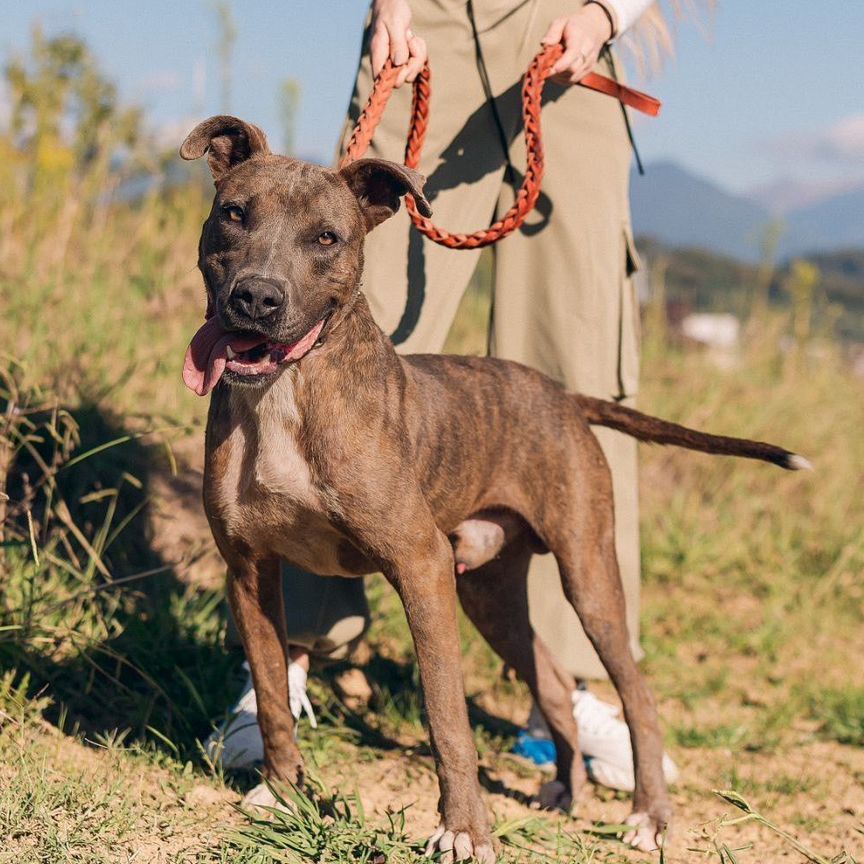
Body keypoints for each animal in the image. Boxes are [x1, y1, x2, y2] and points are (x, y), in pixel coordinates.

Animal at [179, 116, 808, 864]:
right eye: (234, 213)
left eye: (326, 238)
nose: (256, 297)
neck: (284, 391)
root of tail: (564, 396)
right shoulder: (250, 570)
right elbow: (274, 692)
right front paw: (281, 794)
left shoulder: (419, 566)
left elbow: (446, 714)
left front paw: (463, 830)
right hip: (489, 590)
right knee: (555, 683)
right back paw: (565, 789)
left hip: (586, 571)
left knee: (637, 693)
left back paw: (649, 816)